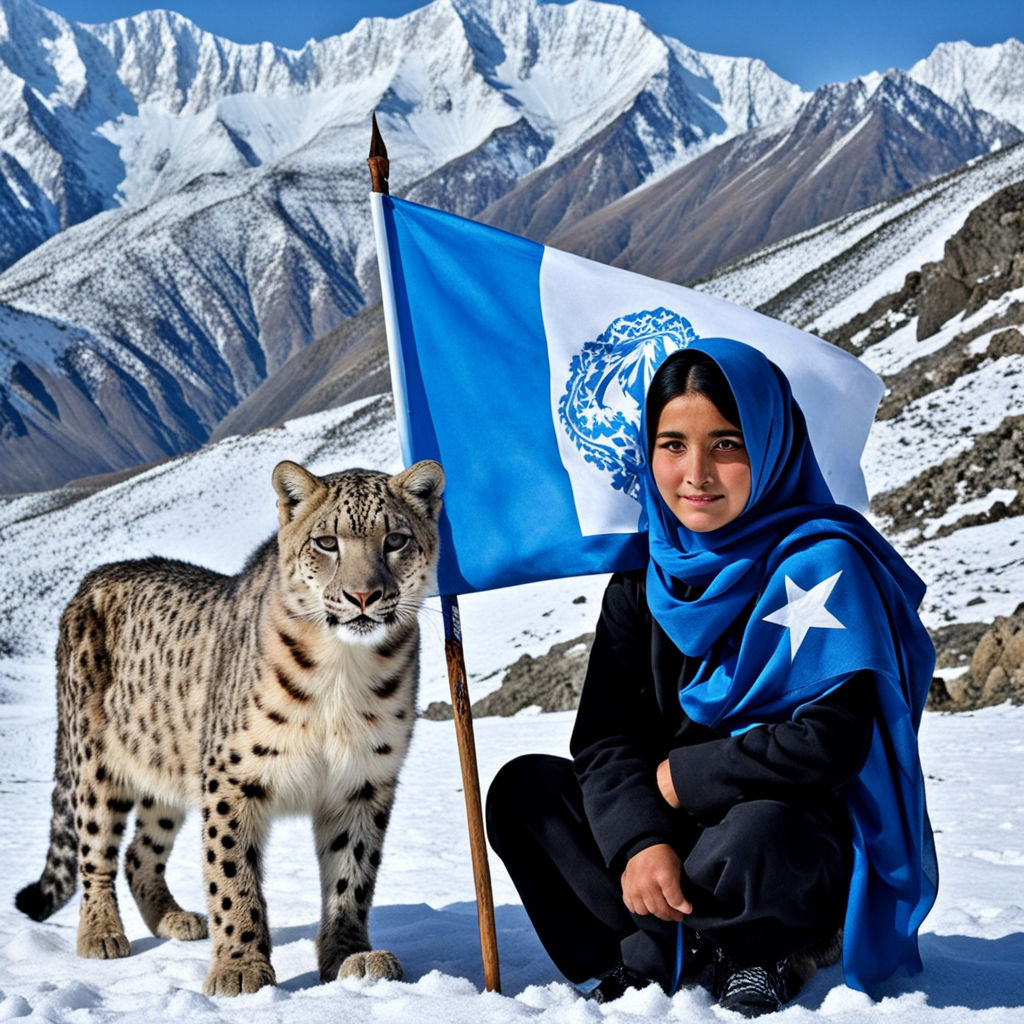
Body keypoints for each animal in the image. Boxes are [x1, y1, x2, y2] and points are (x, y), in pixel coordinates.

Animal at [16, 458, 444, 996]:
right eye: (327, 542)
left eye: (396, 539)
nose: (364, 595)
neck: (343, 672)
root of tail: (92, 577)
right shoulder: (233, 776)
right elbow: (231, 872)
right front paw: (240, 968)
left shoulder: (363, 780)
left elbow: (352, 875)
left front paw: (352, 957)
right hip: (97, 766)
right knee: (96, 850)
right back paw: (101, 934)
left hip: (167, 767)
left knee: (140, 851)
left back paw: (174, 919)